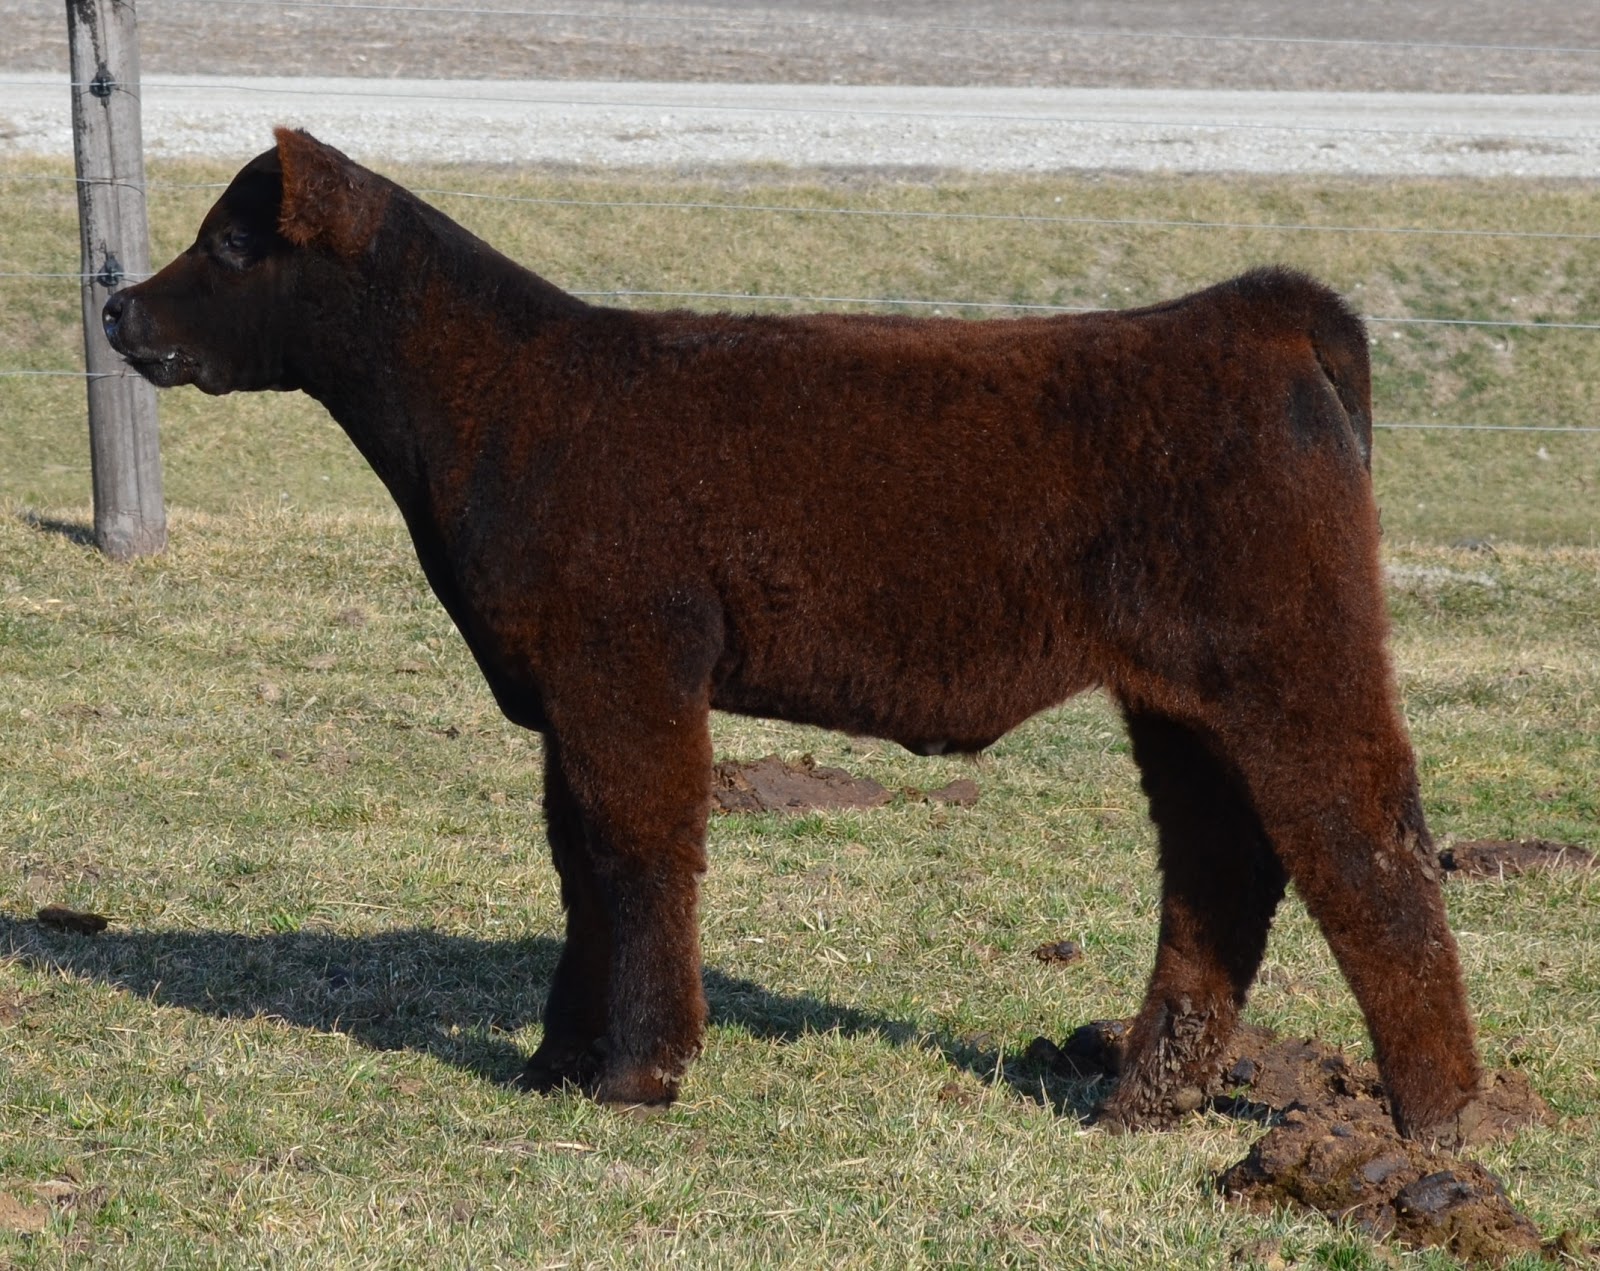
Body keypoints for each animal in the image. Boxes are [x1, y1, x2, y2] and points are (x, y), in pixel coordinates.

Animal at [102, 128, 1483, 1142]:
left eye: (230, 241)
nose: (117, 311)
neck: (505, 407)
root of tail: (1253, 313)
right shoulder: (564, 684)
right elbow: (577, 857)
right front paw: (556, 1060)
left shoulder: (627, 662)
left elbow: (640, 847)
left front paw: (638, 1072)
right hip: (1182, 698)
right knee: (1221, 867)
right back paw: (1143, 1099)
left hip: (1292, 658)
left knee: (1367, 849)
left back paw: (1442, 1119)